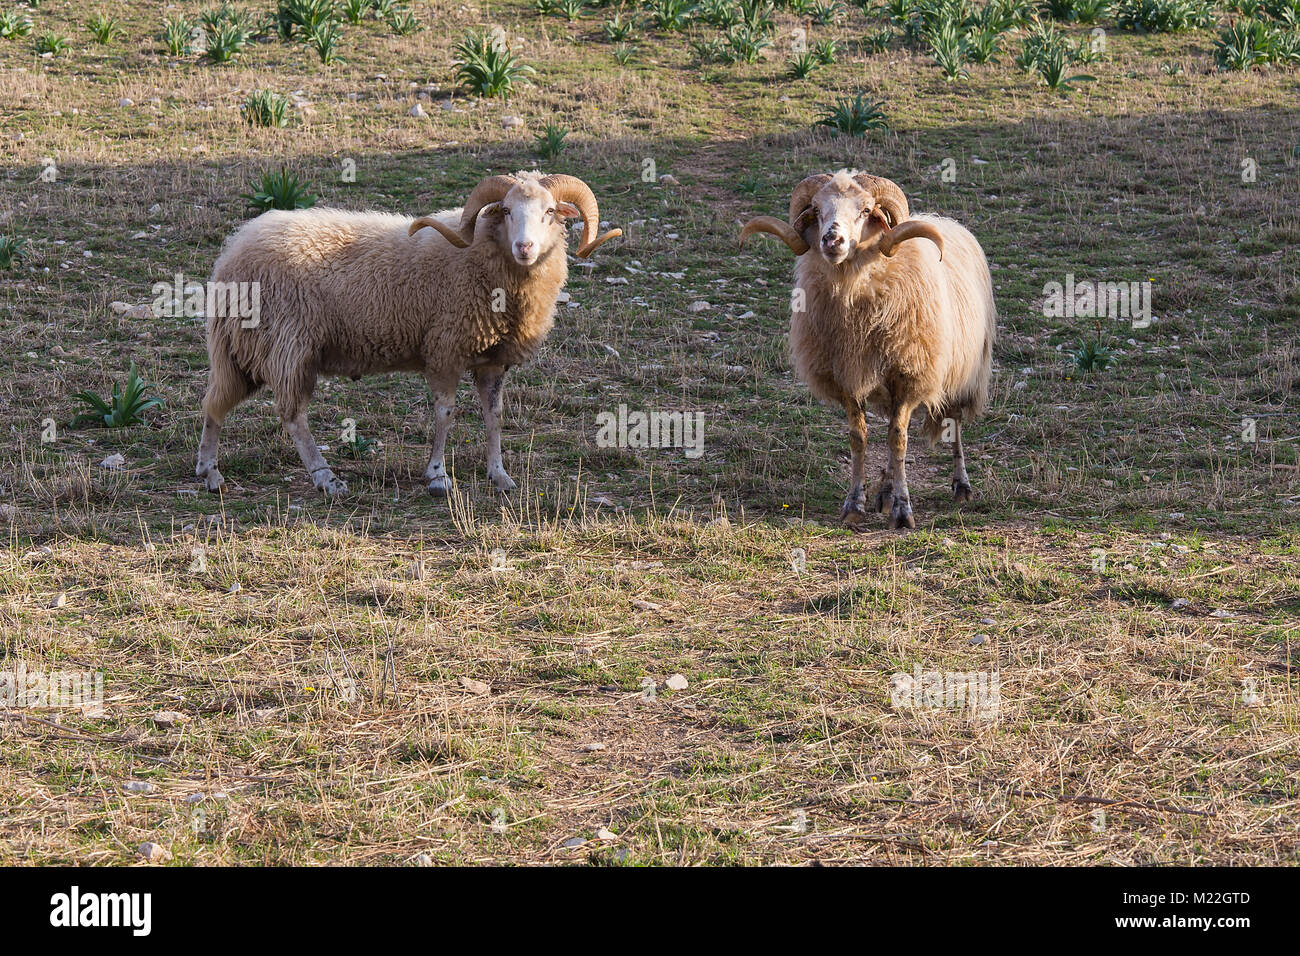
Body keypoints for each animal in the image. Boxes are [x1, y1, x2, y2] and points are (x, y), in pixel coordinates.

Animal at [195, 172, 621, 497]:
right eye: (506, 211)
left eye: (549, 211)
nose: (525, 247)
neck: (481, 259)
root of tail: (232, 253)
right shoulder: (445, 349)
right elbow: (445, 413)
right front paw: (437, 476)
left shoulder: (493, 360)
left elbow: (494, 415)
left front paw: (499, 475)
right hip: (288, 345)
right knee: (293, 416)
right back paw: (325, 478)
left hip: (242, 350)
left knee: (214, 402)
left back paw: (208, 470)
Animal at [740, 170, 996, 530]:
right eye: (816, 210)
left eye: (865, 211)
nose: (832, 241)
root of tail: (947, 221)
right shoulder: (846, 376)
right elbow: (860, 438)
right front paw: (855, 504)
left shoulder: (907, 375)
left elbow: (898, 439)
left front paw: (903, 510)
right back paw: (885, 492)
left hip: (964, 370)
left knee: (954, 423)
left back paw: (961, 486)